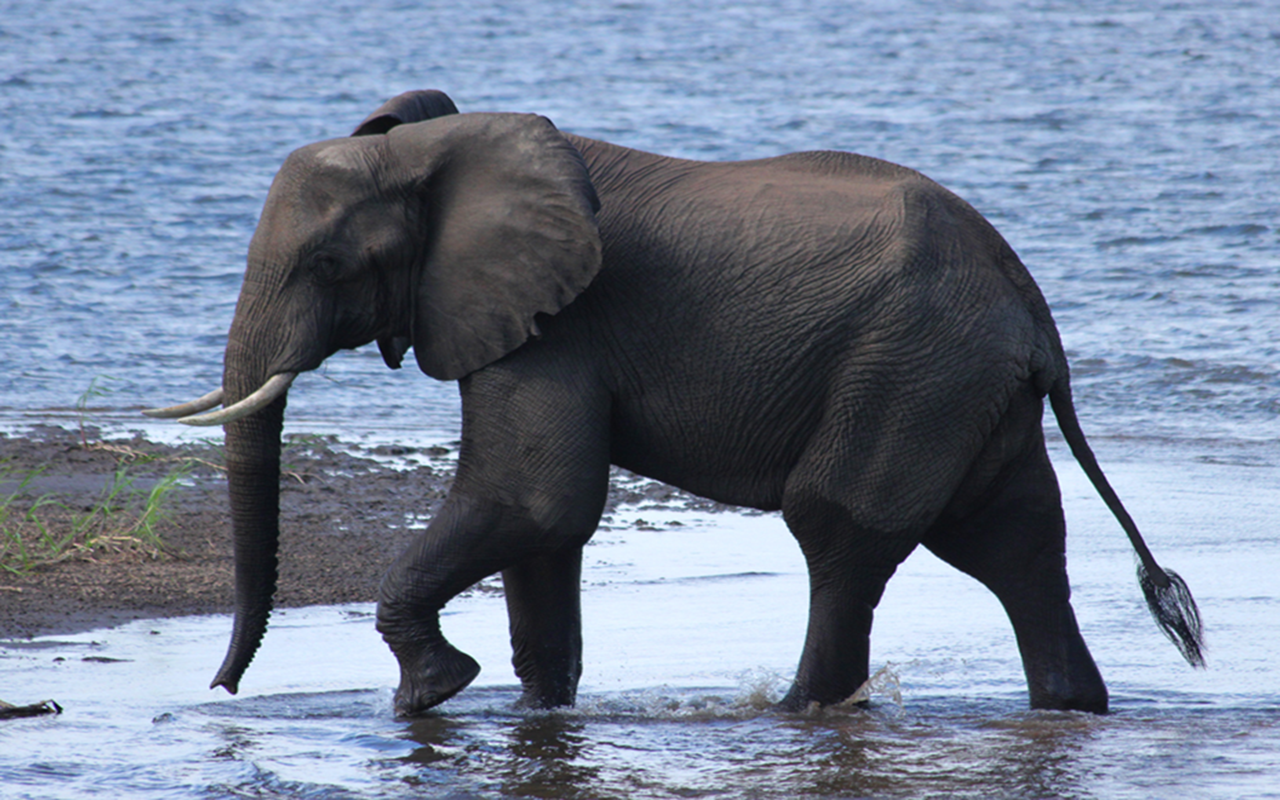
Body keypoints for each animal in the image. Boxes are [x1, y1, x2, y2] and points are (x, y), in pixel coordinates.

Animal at [146, 90, 1203, 717]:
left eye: (327, 265)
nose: (223, 692)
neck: (436, 147)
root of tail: (1031, 305)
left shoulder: (562, 322)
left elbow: (535, 501)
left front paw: (431, 695)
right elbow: (543, 528)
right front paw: (536, 715)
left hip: (911, 370)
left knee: (841, 527)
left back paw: (793, 714)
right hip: (963, 388)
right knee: (1013, 543)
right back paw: (1072, 709)